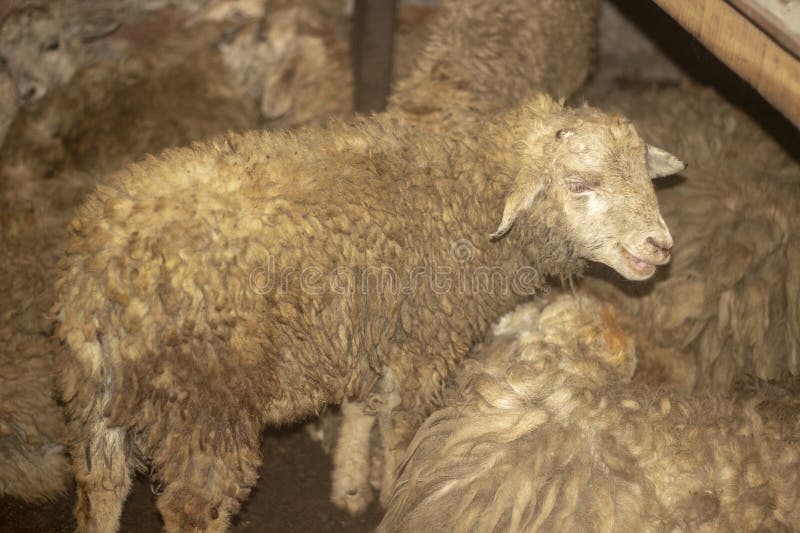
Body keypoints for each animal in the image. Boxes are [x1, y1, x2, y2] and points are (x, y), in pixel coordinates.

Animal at [53, 93, 684, 531]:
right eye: (580, 184)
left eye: (644, 179)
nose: (661, 246)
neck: (461, 199)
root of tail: (100, 279)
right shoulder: (422, 345)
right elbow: (403, 432)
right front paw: (396, 490)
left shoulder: (364, 328)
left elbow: (359, 409)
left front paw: (350, 488)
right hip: (206, 409)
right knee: (192, 509)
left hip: (94, 403)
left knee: (100, 488)